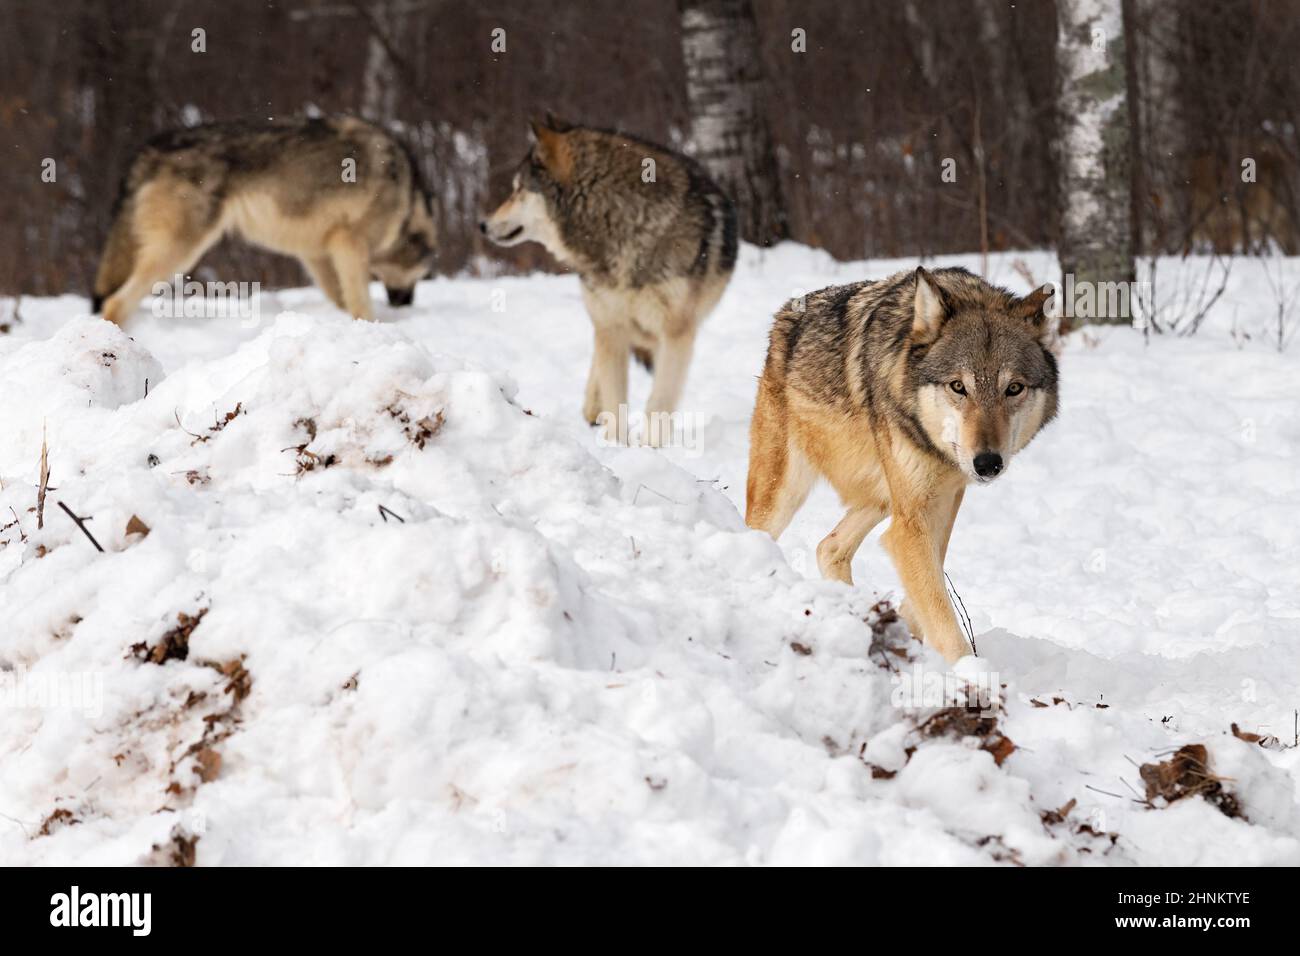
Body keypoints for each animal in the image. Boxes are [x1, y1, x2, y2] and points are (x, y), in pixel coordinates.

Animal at [92, 116, 436, 326]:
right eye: (422, 275)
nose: (406, 303)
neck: (407, 199)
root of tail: (150, 148)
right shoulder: (350, 244)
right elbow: (360, 301)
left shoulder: (317, 253)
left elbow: (339, 297)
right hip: (181, 252)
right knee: (115, 303)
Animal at [480, 115, 737, 442]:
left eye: (517, 190)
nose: (482, 224)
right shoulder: (610, 325)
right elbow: (616, 400)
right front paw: (616, 444)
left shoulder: (676, 333)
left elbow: (659, 401)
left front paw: (651, 447)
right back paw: (592, 406)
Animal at [746, 267, 1058, 663]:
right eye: (958, 386)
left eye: (1014, 388)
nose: (988, 463)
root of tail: (788, 311)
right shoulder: (912, 521)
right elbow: (941, 614)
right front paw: (969, 673)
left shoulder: (946, 497)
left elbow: (930, 583)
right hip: (783, 496)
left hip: (882, 496)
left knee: (828, 547)